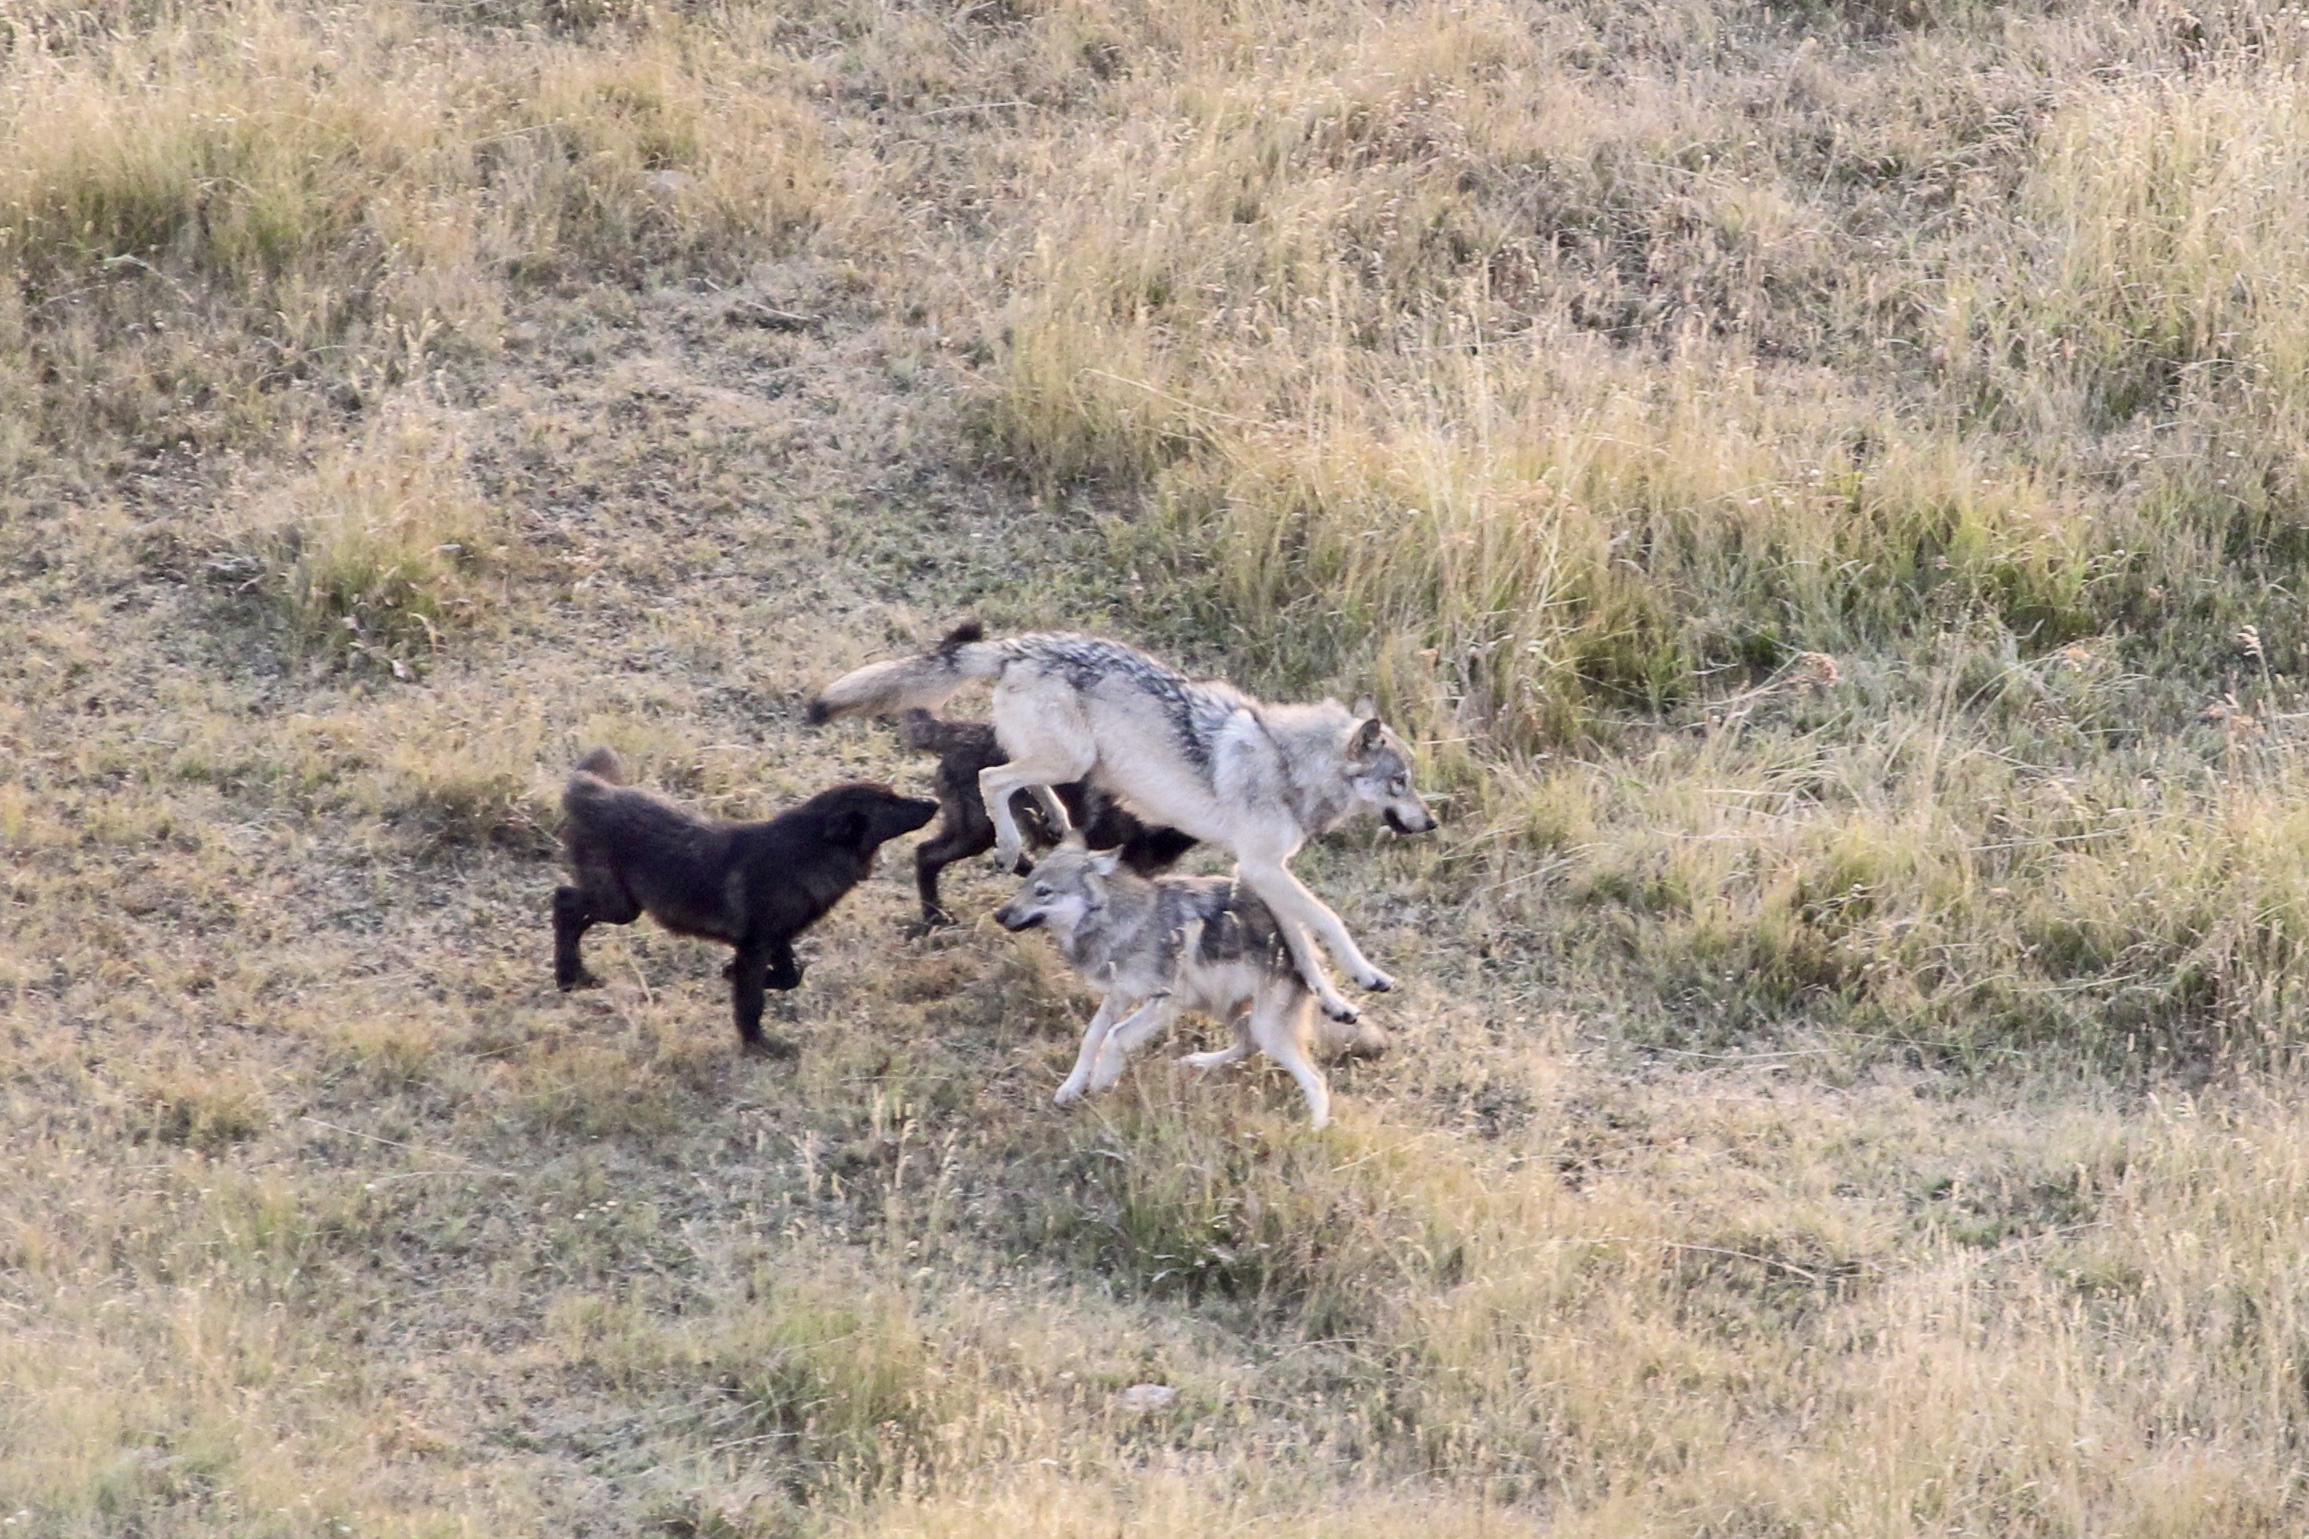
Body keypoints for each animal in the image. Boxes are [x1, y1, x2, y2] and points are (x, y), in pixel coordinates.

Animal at [554, 747, 937, 1054]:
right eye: (890, 802)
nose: (933, 802)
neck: (808, 854)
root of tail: (595, 791)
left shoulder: (778, 939)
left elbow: (790, 976)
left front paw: (731, 974)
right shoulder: (755, 946)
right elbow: (752, 1002)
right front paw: (759, 1044)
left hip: (622, 905)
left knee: (573, 913)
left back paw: (574, 976)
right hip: (619, 905)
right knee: (564, 902)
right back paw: (567, 974)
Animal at [994, 841, 1388, 1128]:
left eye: (1043, 892)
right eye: (1025, 883)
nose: (999, 914)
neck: (1123, 922)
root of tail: (1310, 954)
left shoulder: (1169, 1000)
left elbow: (1116, 1036)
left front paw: (1103, 1080)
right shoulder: (1120, 995)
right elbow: (1092, 1037)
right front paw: (1072, 1086)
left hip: (1263, 1026)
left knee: (1315, 1079)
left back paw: (1315, 1130)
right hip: (1226, 1010)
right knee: (1248, 1044)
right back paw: (1200, 1062)